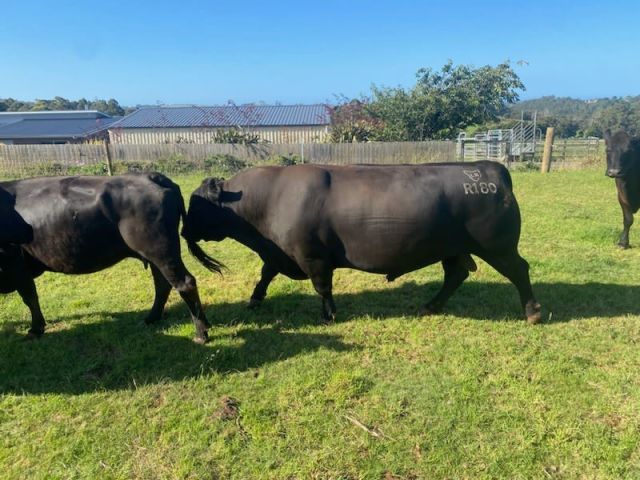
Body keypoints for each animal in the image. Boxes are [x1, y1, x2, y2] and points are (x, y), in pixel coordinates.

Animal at [0, 173, 223, 343]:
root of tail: (151, 175)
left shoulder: (15, 265)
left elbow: (30, 298)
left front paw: (35, 329)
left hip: (161, 250)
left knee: (184, 283)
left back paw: (201, 333)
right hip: (155, 254)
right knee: (162, 284)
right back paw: (152, 318)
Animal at [183, 161, 541, 324]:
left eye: (196, 205)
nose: (184, 231)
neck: (269, 200)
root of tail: (489, 169)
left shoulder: (313, 257)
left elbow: (322, 286)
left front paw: (329, 315)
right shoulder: (278, 253)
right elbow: (265, 274)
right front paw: (254, 300)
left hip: (498, 246)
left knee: (519, 270)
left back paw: (532, 312)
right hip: (453, 249)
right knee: (456, 275)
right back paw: (430, 305)